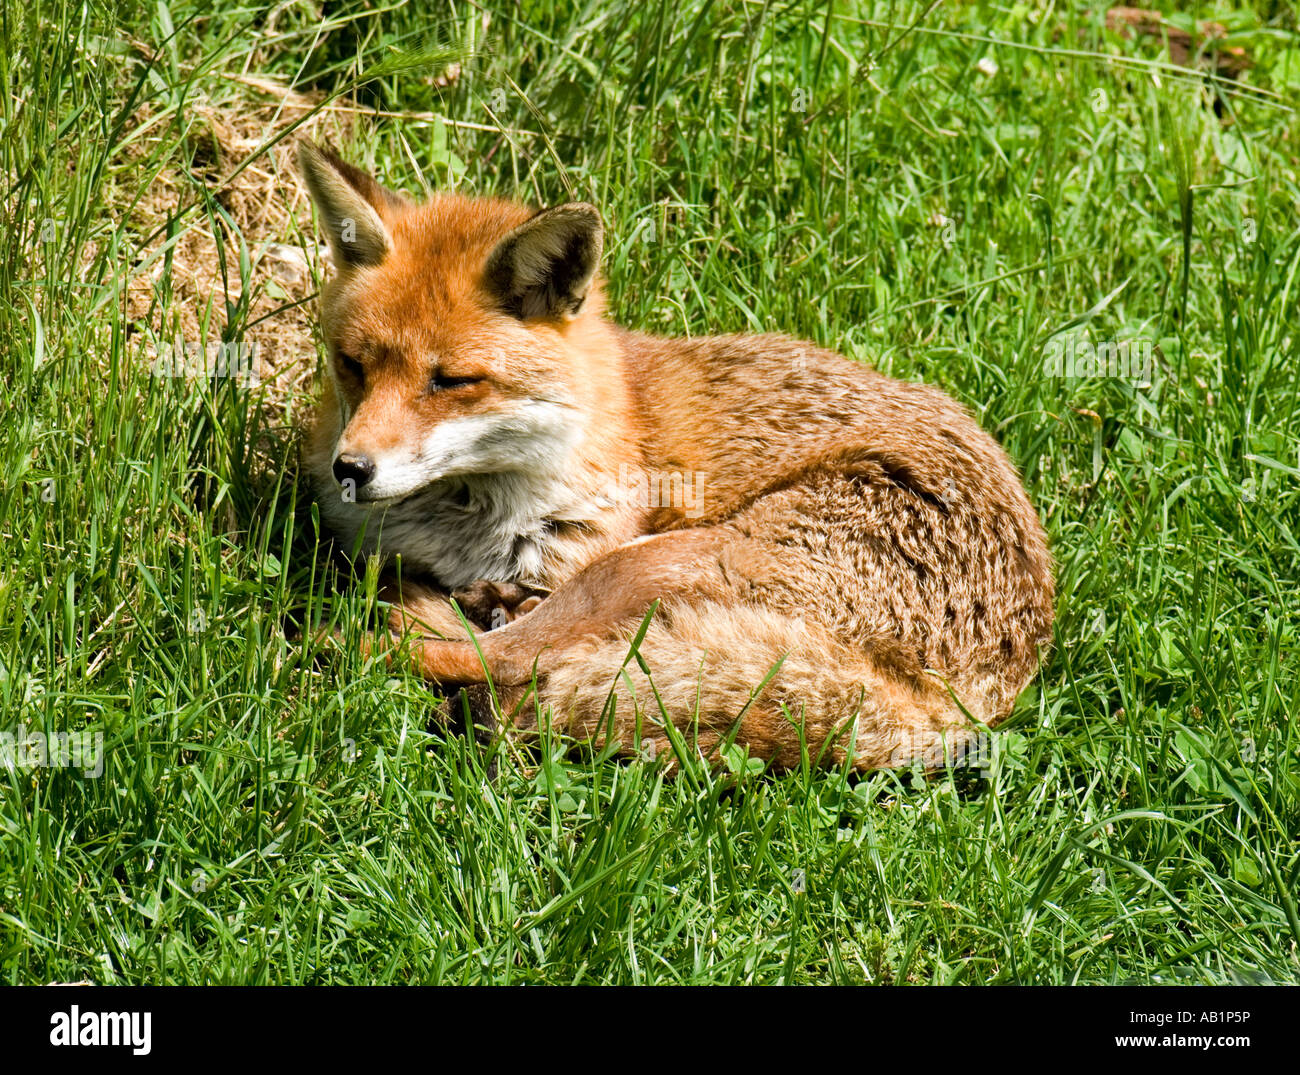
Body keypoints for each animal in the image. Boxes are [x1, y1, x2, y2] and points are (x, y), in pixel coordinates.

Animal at [297, 140, 1055, 771]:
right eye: (352, 364)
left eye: (450, 381)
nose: (351, 469)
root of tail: (953, 710)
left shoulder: (588, 556)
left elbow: (509, 645)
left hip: (667, 559)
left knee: (501, 658)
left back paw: (331, 644)